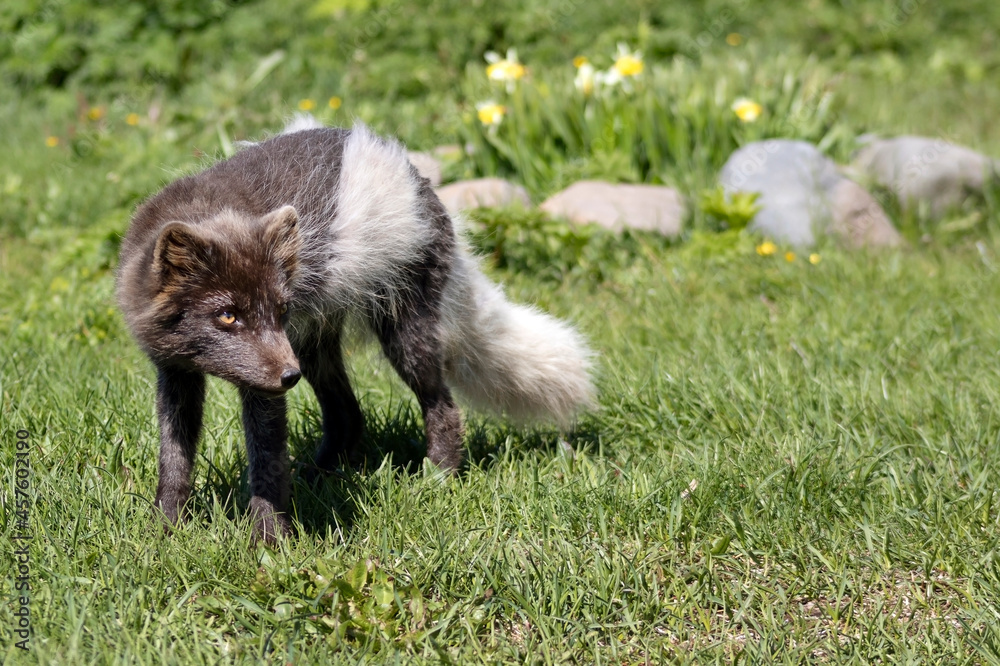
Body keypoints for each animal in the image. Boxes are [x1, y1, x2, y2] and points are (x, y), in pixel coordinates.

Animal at [116, 119, 595, 544]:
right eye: (228, 316)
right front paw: (165, 533)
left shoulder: (264, 384)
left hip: (398, 334)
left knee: (443, 407)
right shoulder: (175, 372)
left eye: (279, 309)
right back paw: (318, 477)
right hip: (311, 348)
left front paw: (269, 545)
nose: (288, 378)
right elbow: (173, 459)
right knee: (348, 414)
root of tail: (418, 179)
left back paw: (437, 479)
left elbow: (266, 464)